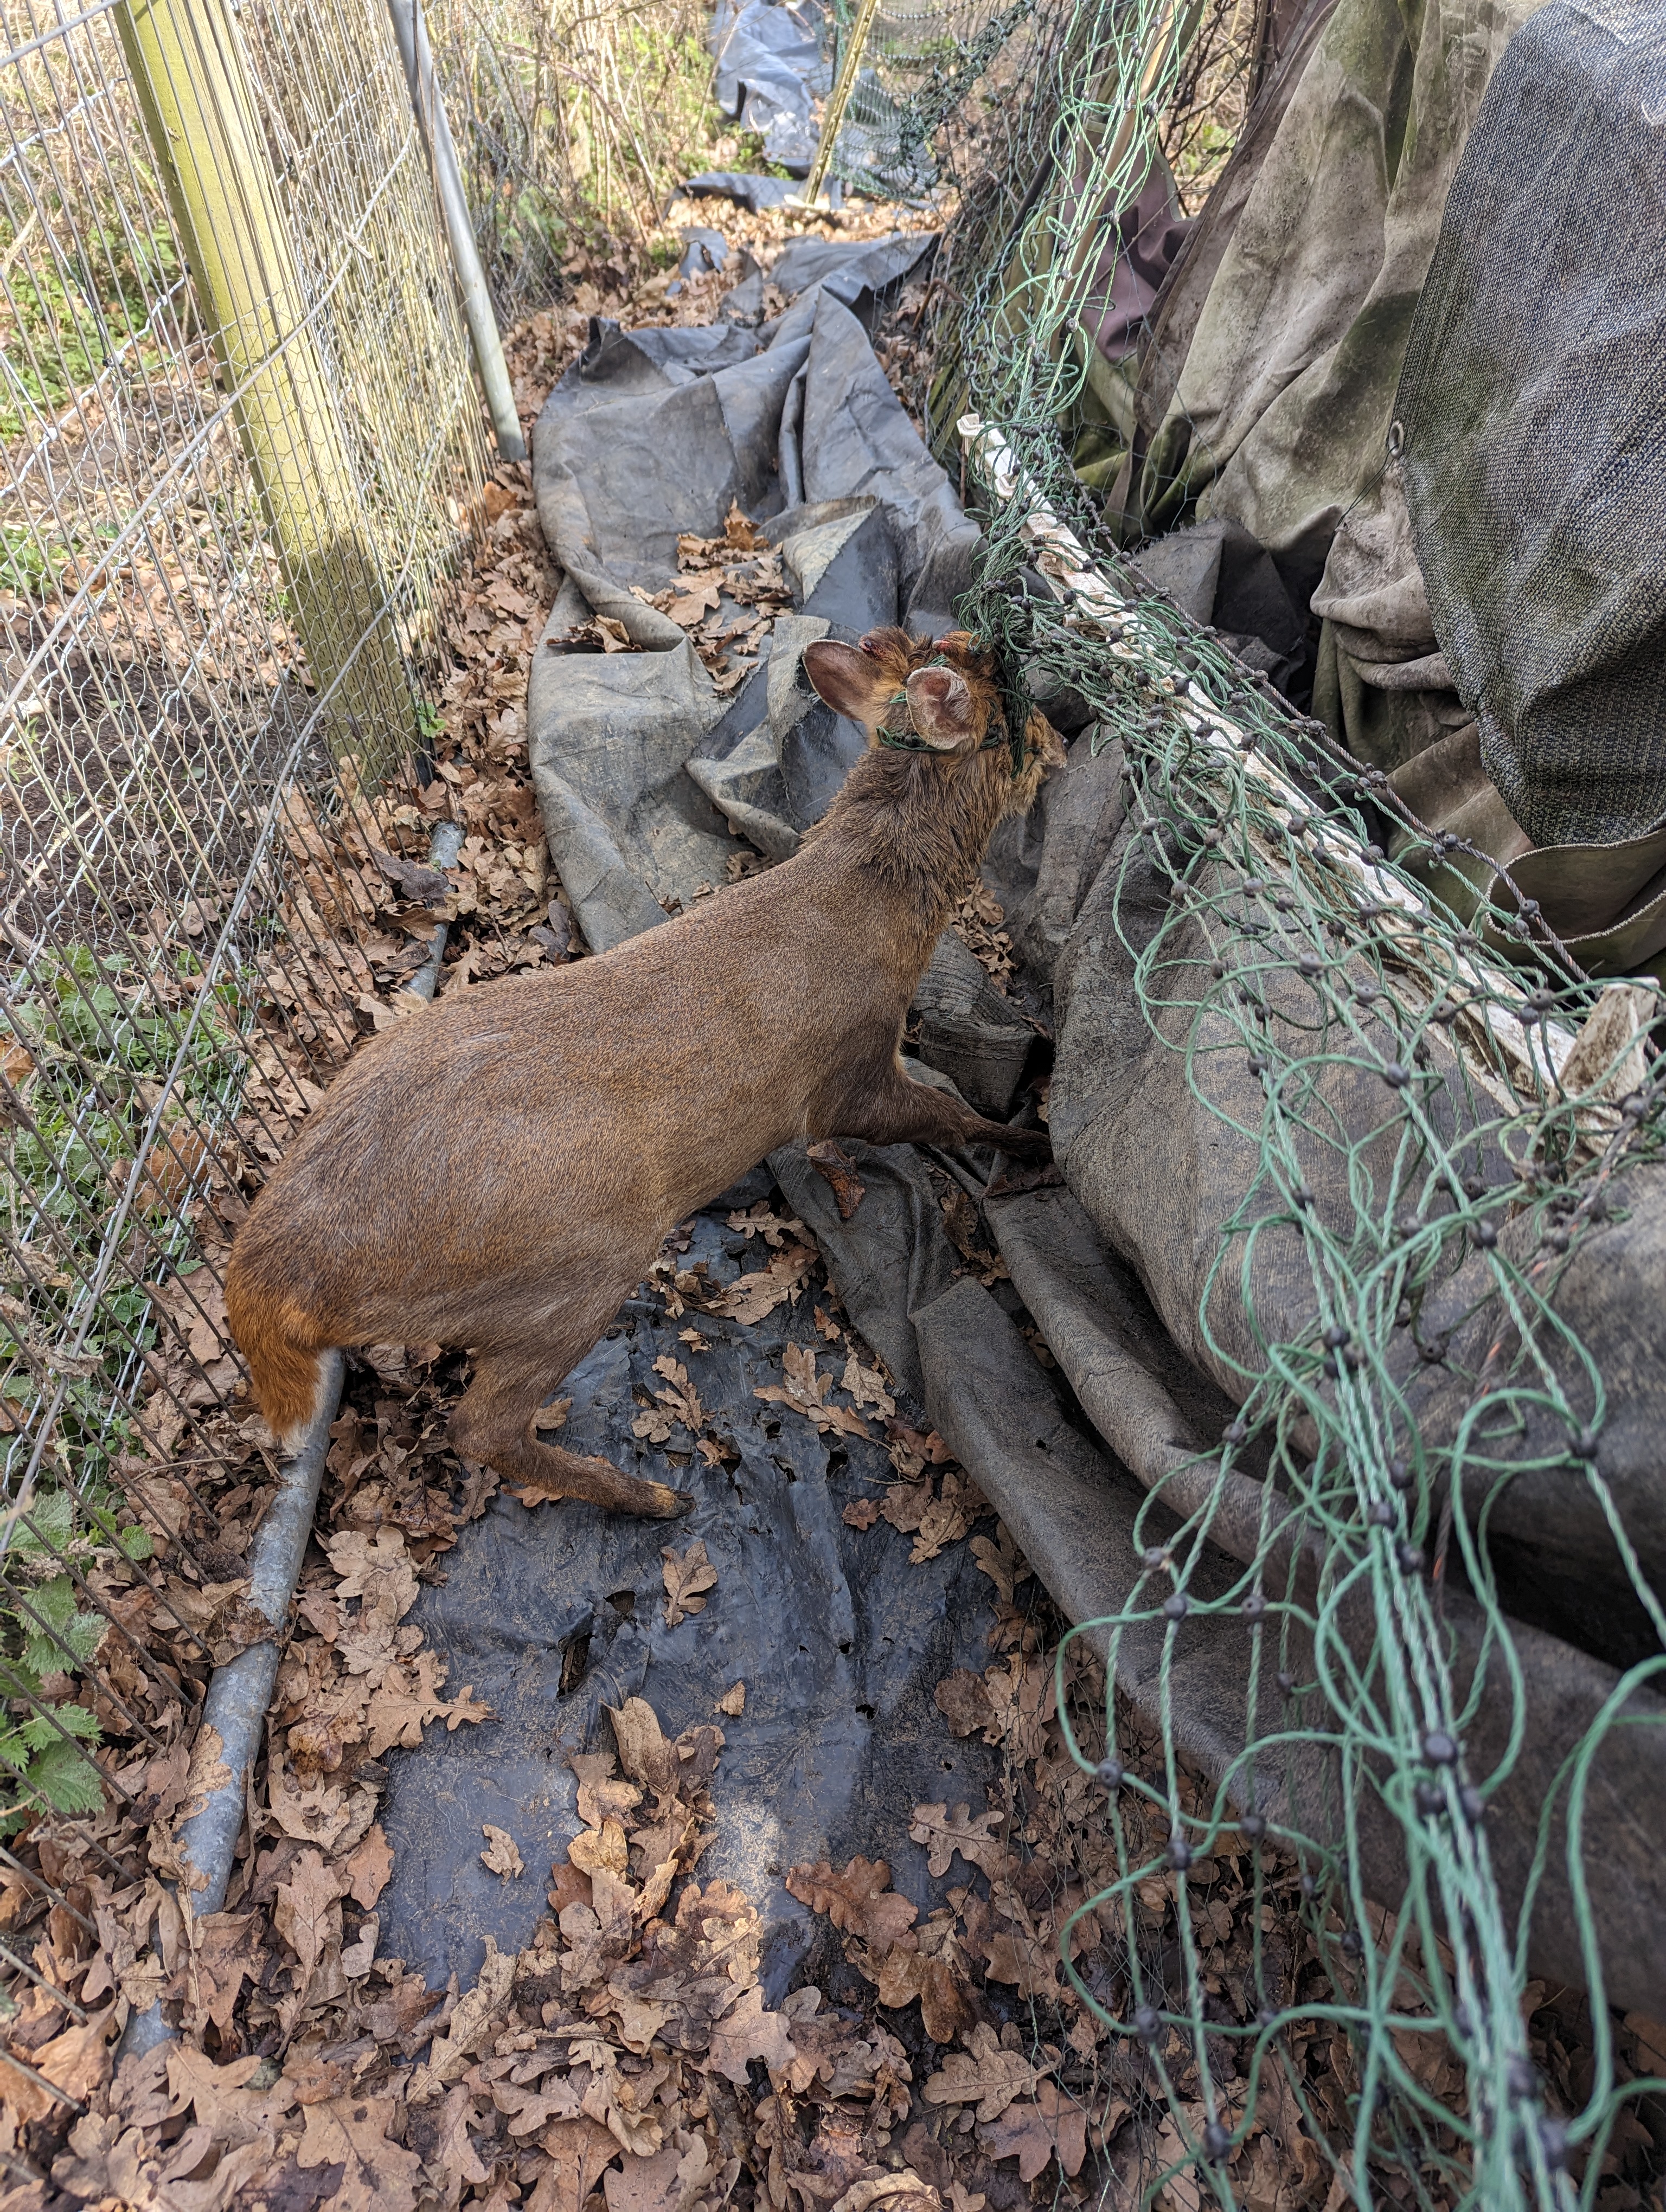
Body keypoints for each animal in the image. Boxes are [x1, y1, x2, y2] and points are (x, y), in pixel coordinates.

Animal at [225, 627, 1064, 1521]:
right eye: (1008, 714)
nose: (1058, 741)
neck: (879, 912)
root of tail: (268, 1279)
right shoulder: (848, 1070)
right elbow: (939, 1117)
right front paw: (1032, 1145)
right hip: (577, 1260)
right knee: (483, 1426)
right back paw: (652, 1497)